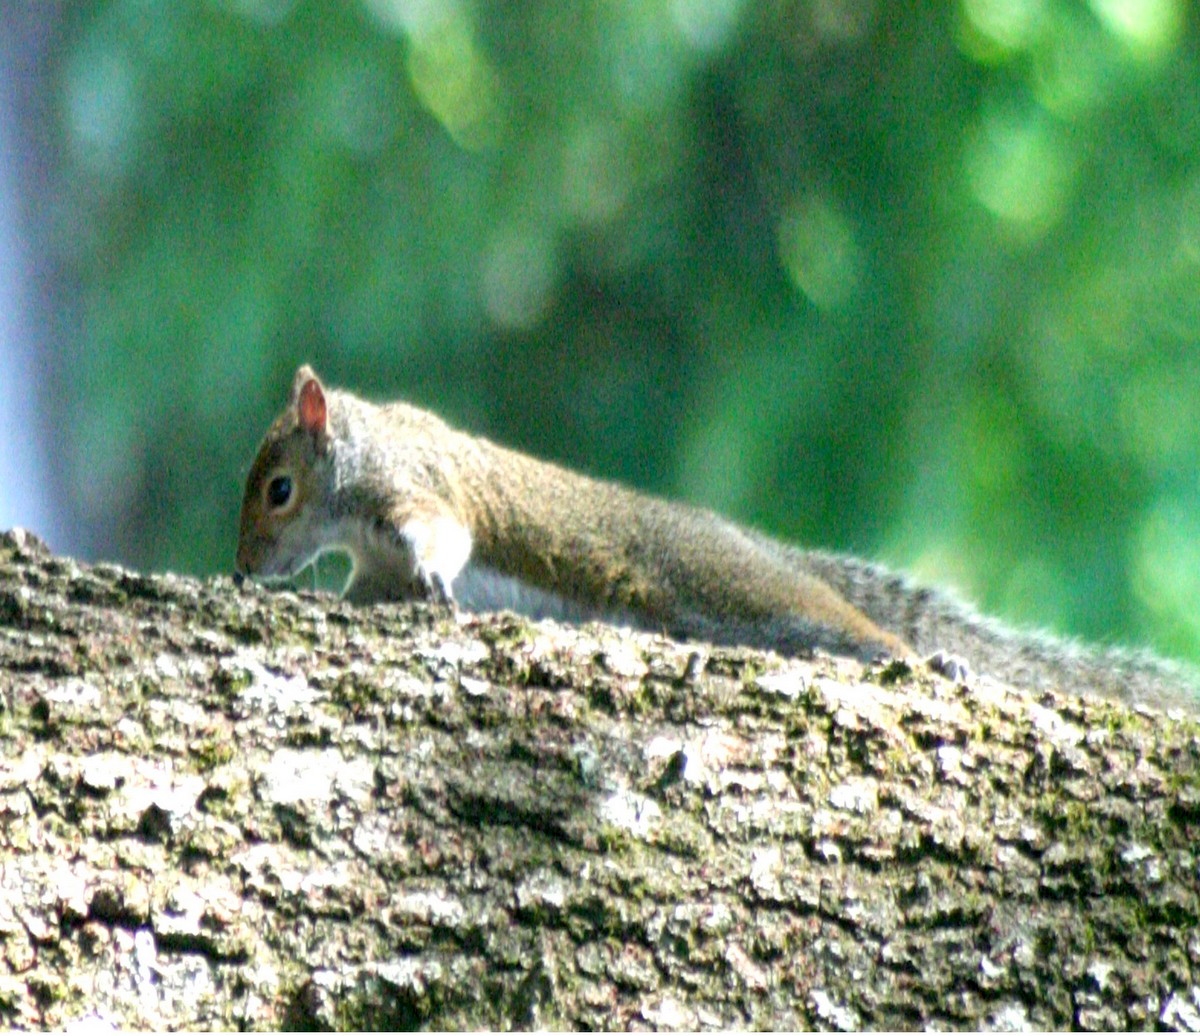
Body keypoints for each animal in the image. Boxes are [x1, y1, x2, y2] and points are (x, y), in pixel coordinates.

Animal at [236, 365, 1200, 710]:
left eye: (278, 491)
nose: (245, 570)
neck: (361, 454)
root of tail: (759, 547)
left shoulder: (421, 488)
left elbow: (441, 538)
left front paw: (432, 581)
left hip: (739, 590)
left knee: (858, 633)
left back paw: (930, 662)